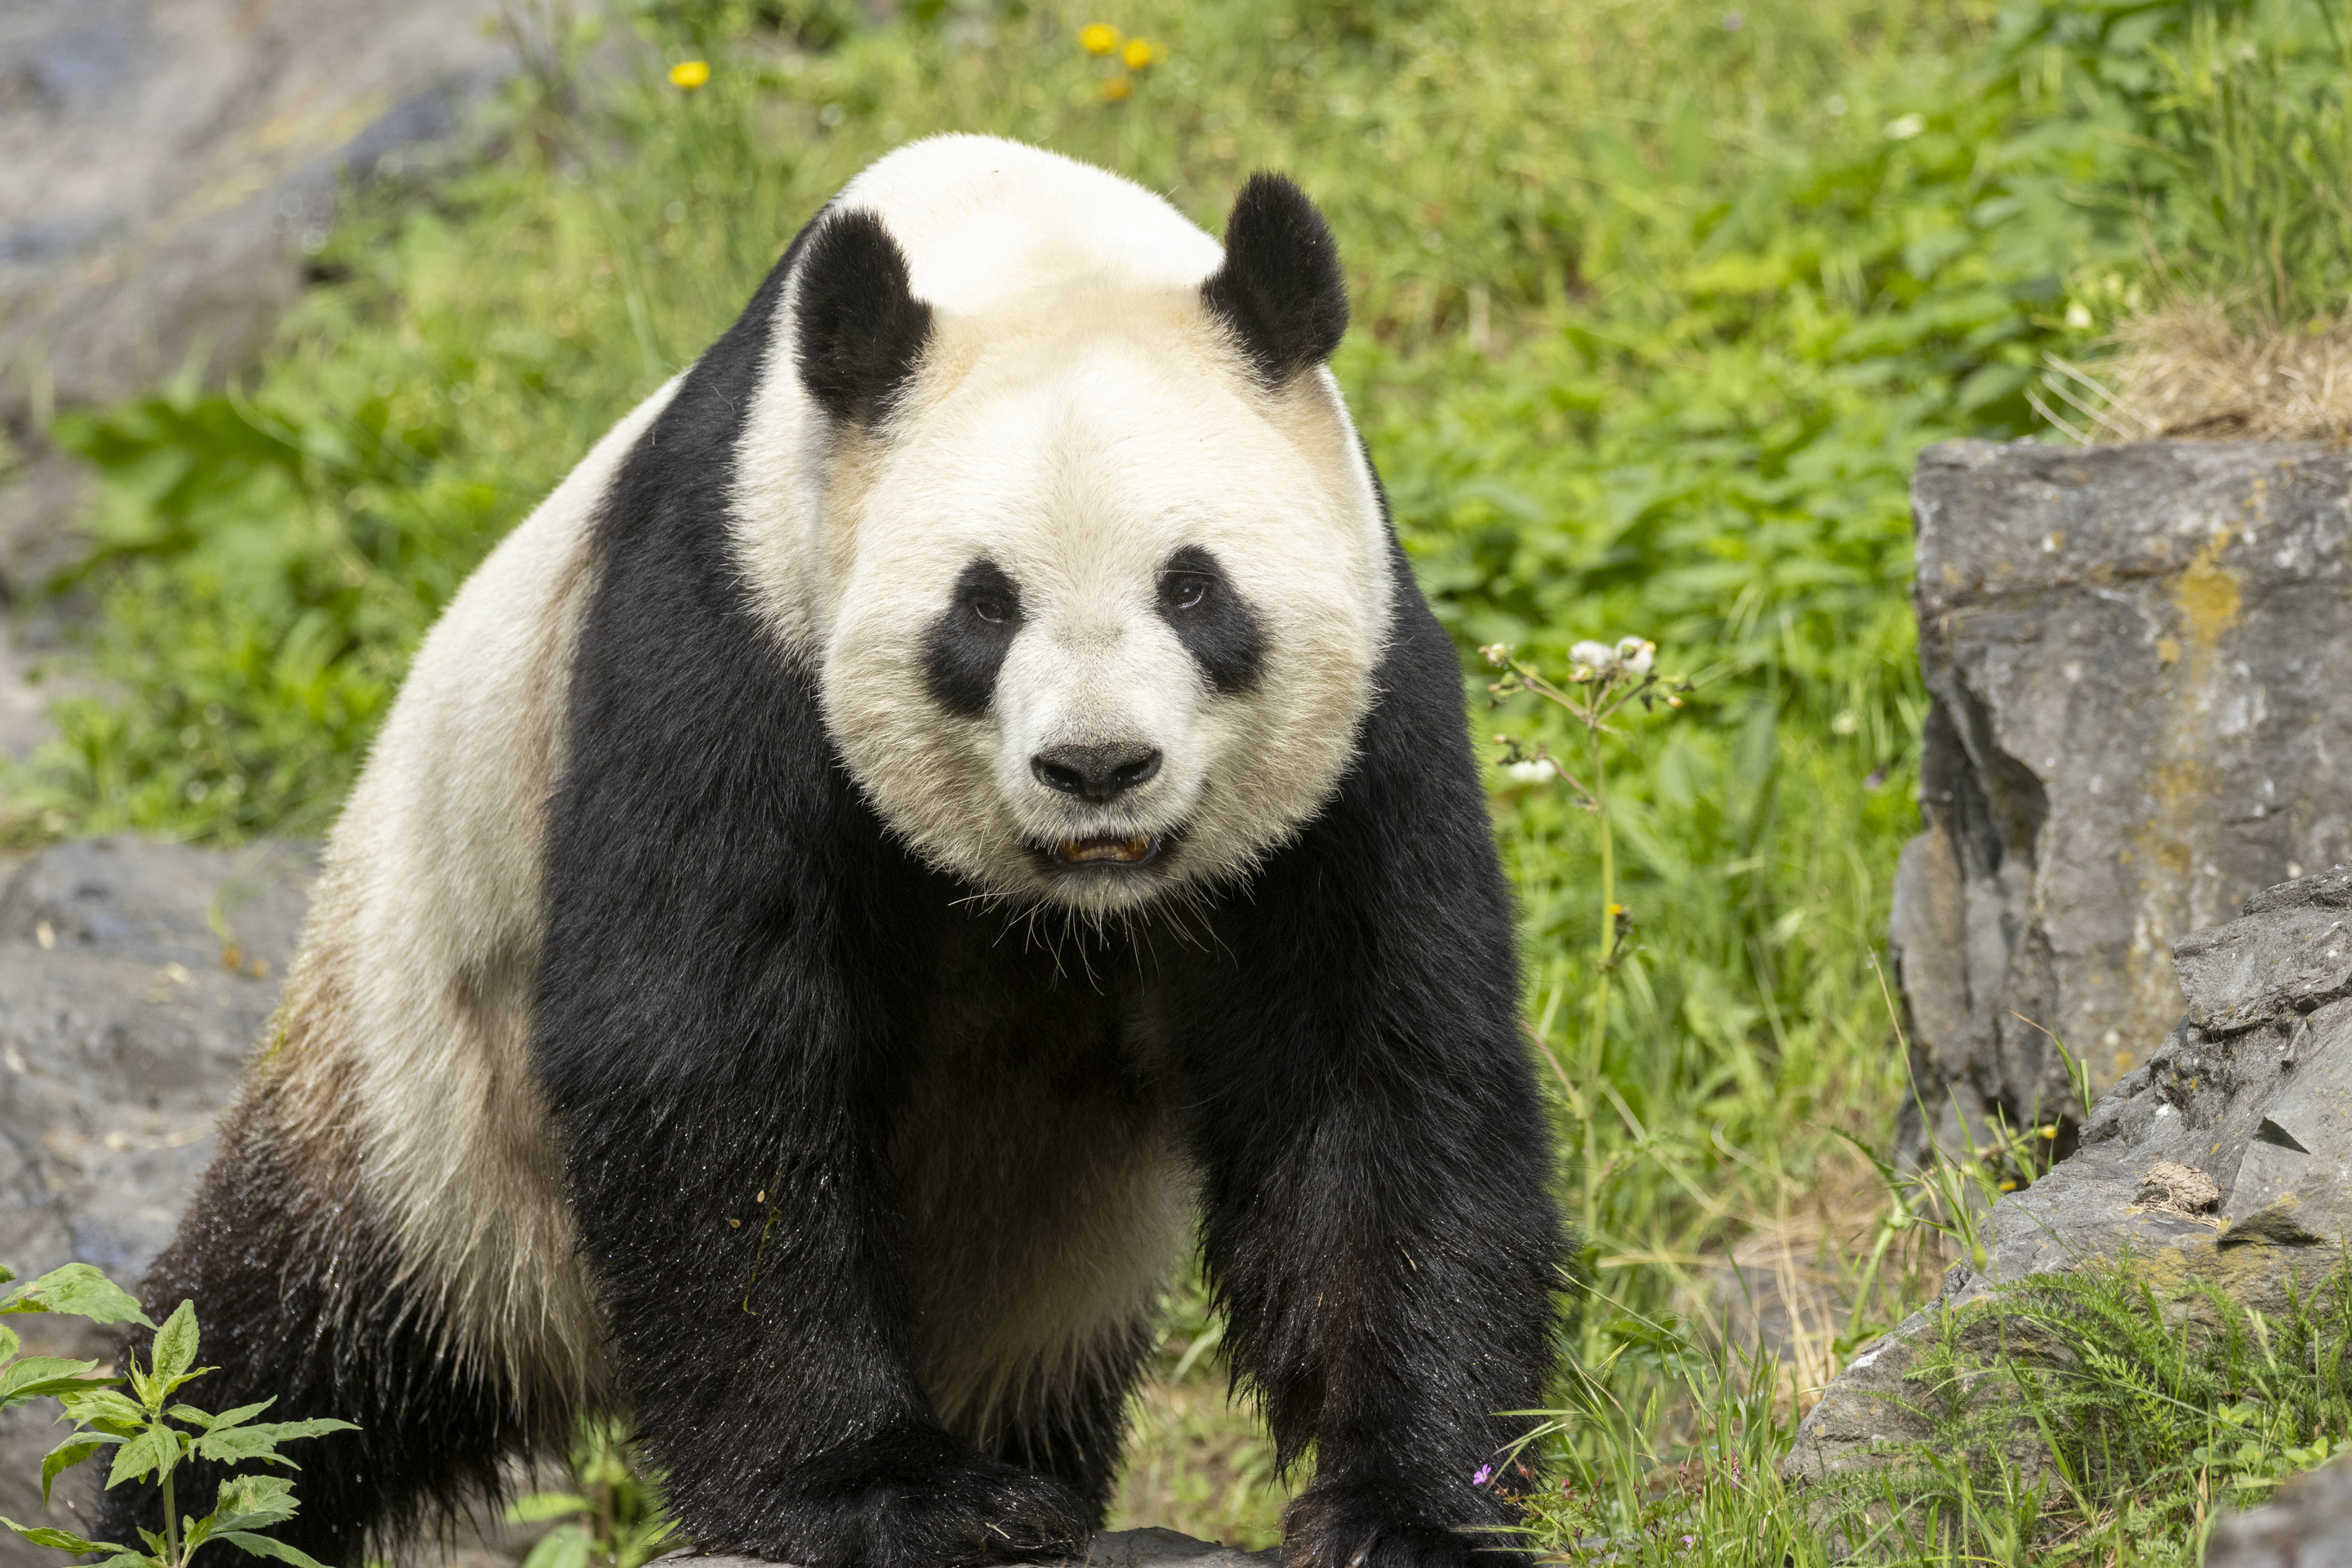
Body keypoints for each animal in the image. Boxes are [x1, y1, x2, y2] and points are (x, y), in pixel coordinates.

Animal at [100, 135, 1563, 1568]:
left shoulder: (1365, 706)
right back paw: (176, 1506)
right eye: (984, 607)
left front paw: (1407, 1509)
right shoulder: (729, 621)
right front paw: (885, 1494)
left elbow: (1370, 1069)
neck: (1018, 236)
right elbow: (707, 1057)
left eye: (1194, 589)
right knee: (267, 1365)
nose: (1097, 768)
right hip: (423, 1099)